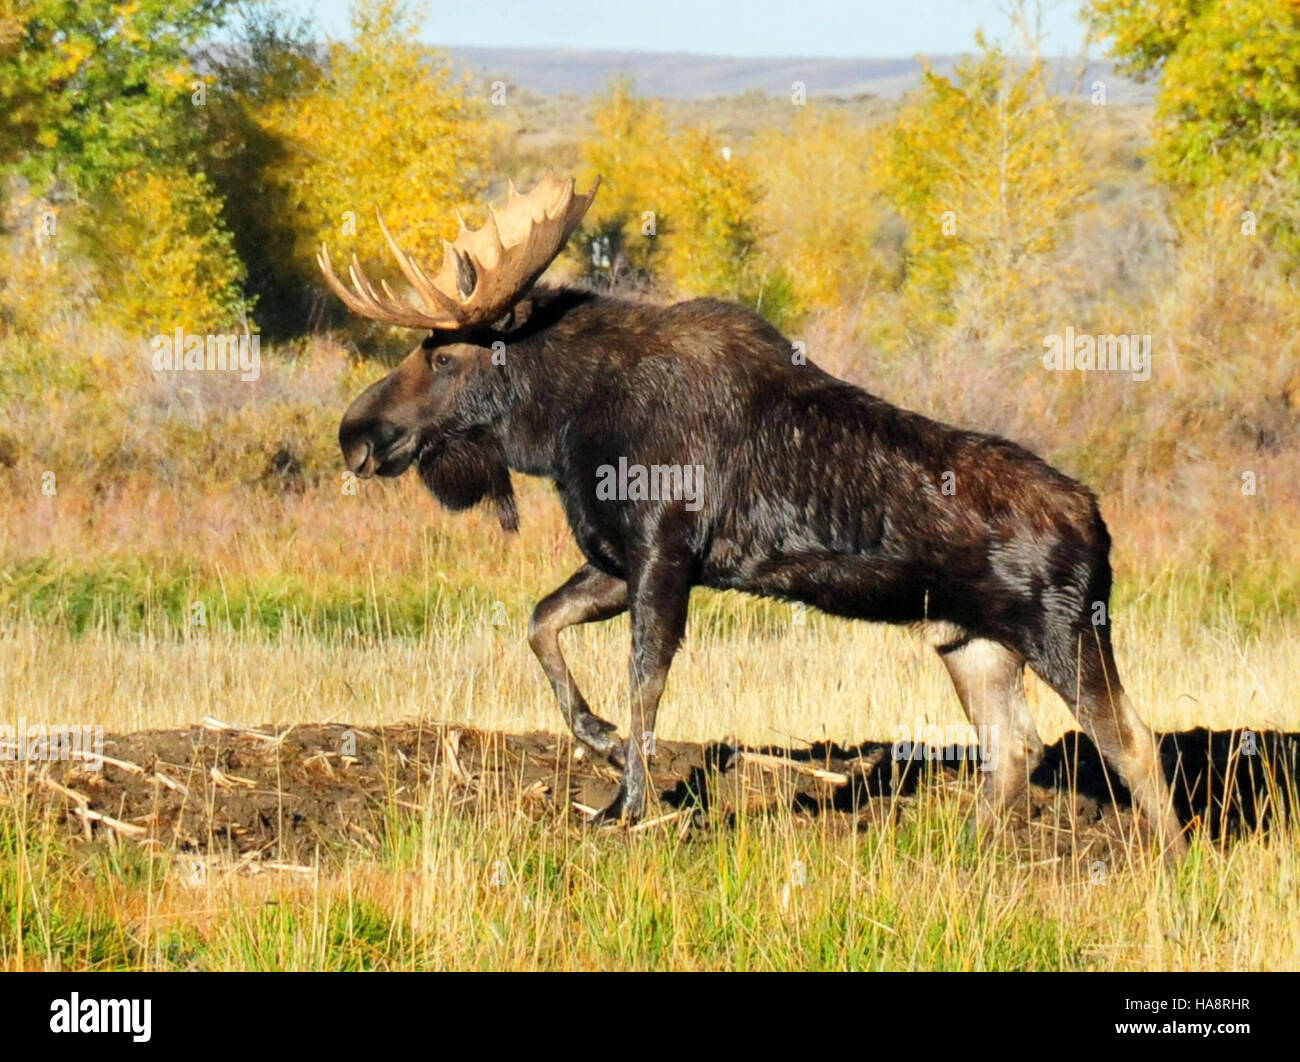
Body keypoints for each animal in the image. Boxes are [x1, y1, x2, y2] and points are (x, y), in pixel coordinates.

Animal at [320, 172, 1186, 859]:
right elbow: (541, 625)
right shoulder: (615, 558)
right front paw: (599, 743)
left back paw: (1173, 865)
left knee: (1131, 740)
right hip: (969, 639)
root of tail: (1099, 519)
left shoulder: (664, 552)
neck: (564, 428)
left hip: (1066, 628)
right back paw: (962, 856)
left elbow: (645, 681)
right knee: (1012, 748)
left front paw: (628, 806)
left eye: (444, 355)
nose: (354, 434)